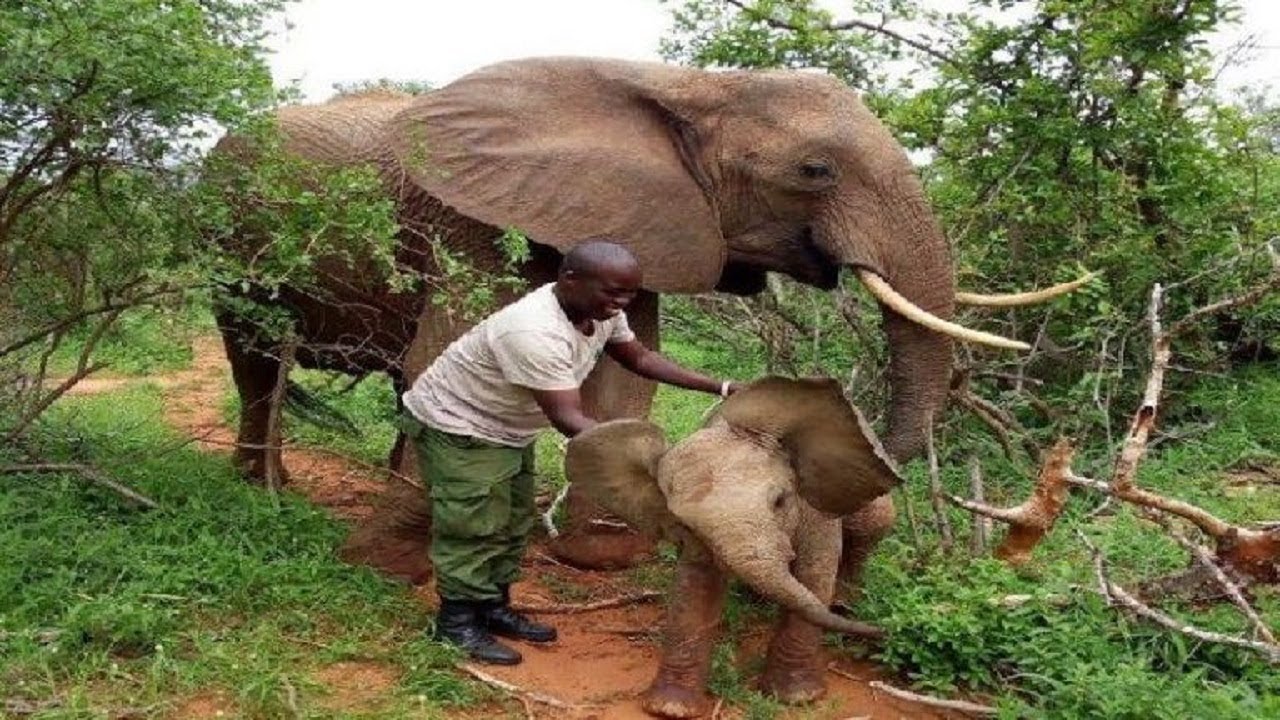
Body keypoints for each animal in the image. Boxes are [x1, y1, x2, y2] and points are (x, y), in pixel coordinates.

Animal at [210, 56, 1076, 586]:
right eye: (814, 170)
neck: (690, 87)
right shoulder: (466, 219)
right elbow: (444, 360)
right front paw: (394, 563)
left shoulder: (653, 228)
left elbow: (627, 381)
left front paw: (603, 553)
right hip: (222, 235)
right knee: (255, 360)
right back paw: (266, 491)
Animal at [565, 376, 901, 717]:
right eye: (684, 524)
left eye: (780, 501)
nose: (885, 631)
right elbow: (696, 587)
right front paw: (670, 708)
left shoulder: (815, 509)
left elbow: (814, 573)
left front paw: (797, 698)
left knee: (872, 525)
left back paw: (843, 605)